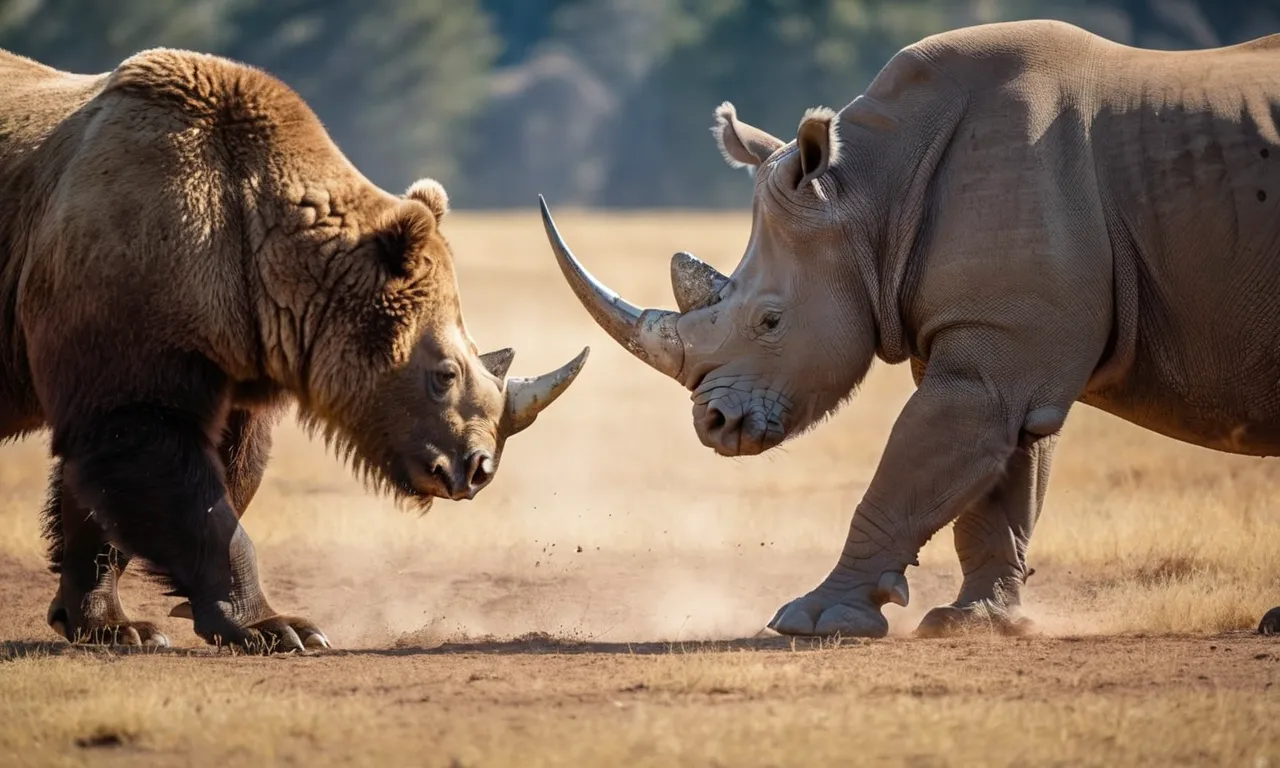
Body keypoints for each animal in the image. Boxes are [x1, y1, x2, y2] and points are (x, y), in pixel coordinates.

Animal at [539, 18, 1280, 638]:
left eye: (771, 320)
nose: (714, 424)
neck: (872, 189)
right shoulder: (1004, 343)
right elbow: (999, 488)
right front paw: (973, 624)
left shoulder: (997, 349)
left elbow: (908, 474)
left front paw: (813, 621)